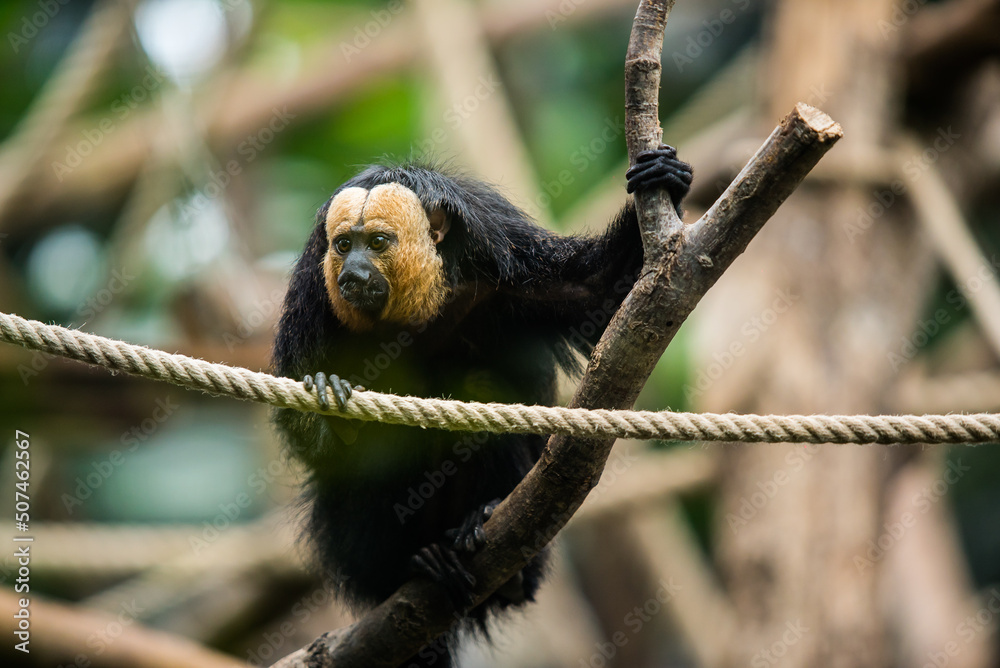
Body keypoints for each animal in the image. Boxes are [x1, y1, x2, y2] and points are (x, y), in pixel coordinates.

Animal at [271, 145, 691, 667]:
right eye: (344, 245)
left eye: (378, 242)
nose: (353, 274)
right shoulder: (312, 289)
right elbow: (306, 429)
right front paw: (327, 396)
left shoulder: (507, 255)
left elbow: (600, 291)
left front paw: (665, 179)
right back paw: (418, 564)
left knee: (483, 392)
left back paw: (488, 534)